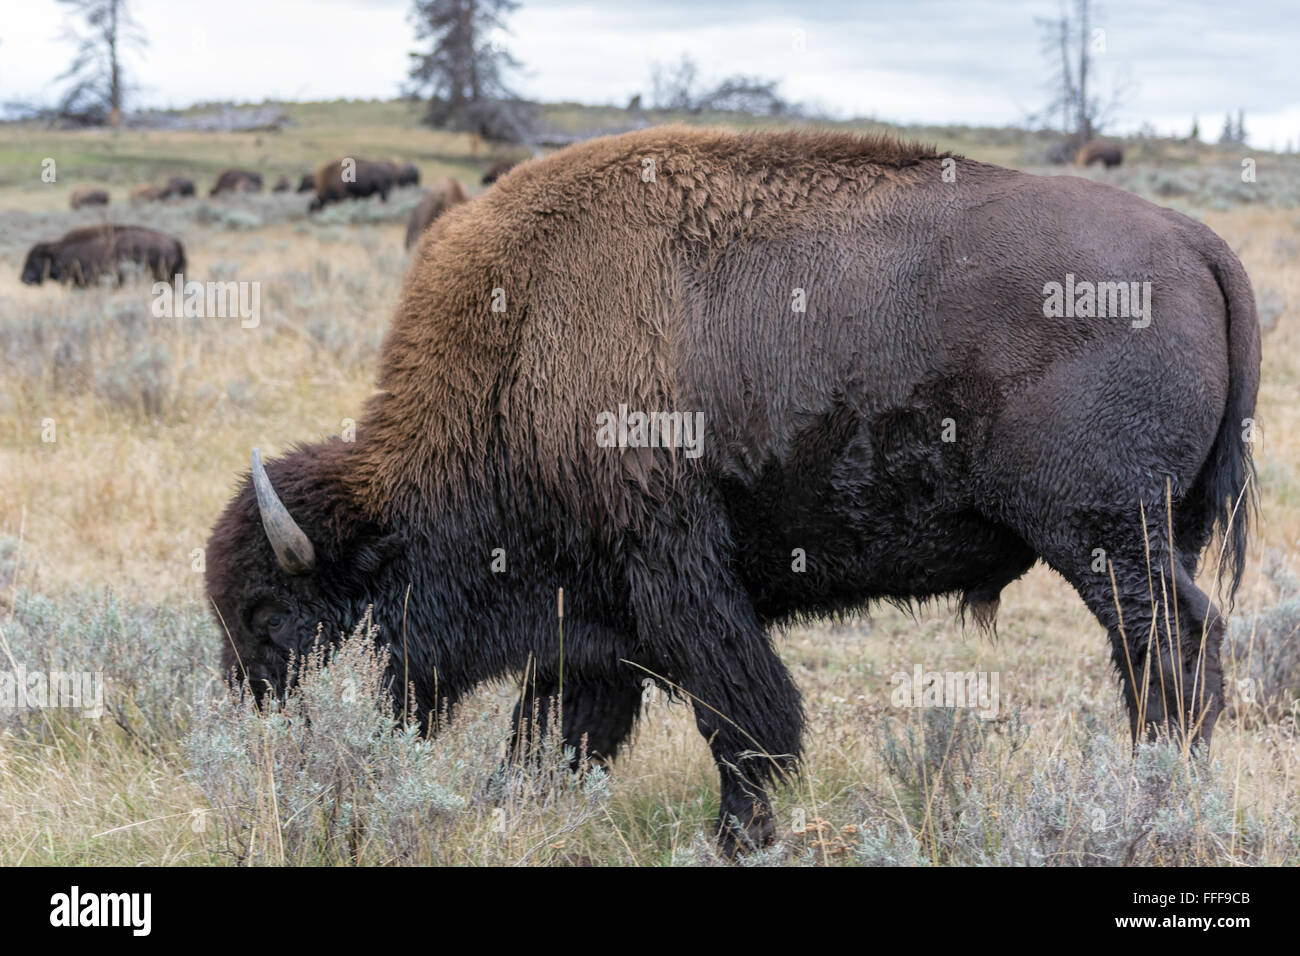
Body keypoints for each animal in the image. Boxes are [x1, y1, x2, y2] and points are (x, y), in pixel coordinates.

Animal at [206, 126, 1259, 854]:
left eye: (272, 617)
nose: (275, 760)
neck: (517, 352)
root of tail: (1197, 242)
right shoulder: (591, 619)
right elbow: (555, 731)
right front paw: (527, 812)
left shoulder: (674, 577)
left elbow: (742, 716)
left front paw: (734, 837)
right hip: (1153, 534)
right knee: (1158, 653)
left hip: (1103, 533)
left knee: (1174, 647)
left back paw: (1153, 791)